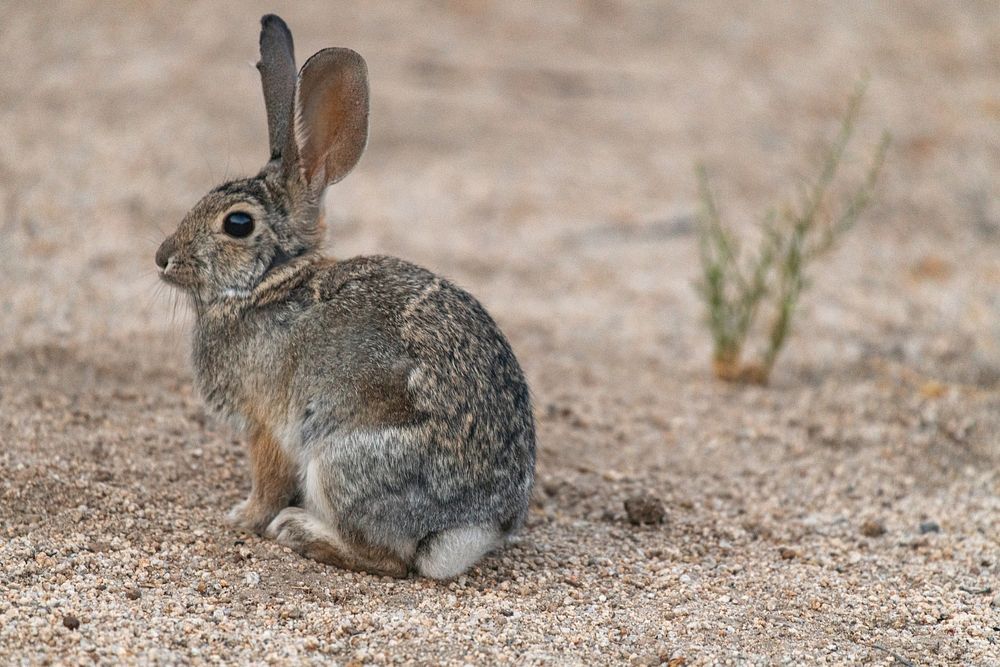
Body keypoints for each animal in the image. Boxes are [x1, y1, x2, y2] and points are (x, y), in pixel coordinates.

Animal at [154, 14, 536, 579]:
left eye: (237, 224)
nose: (162, 257)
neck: (269, 284)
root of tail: (474, 527)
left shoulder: (267, 427)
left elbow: (267, 482)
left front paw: (242, 518)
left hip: (338, 461)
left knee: (390, 560)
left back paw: (300, 532)